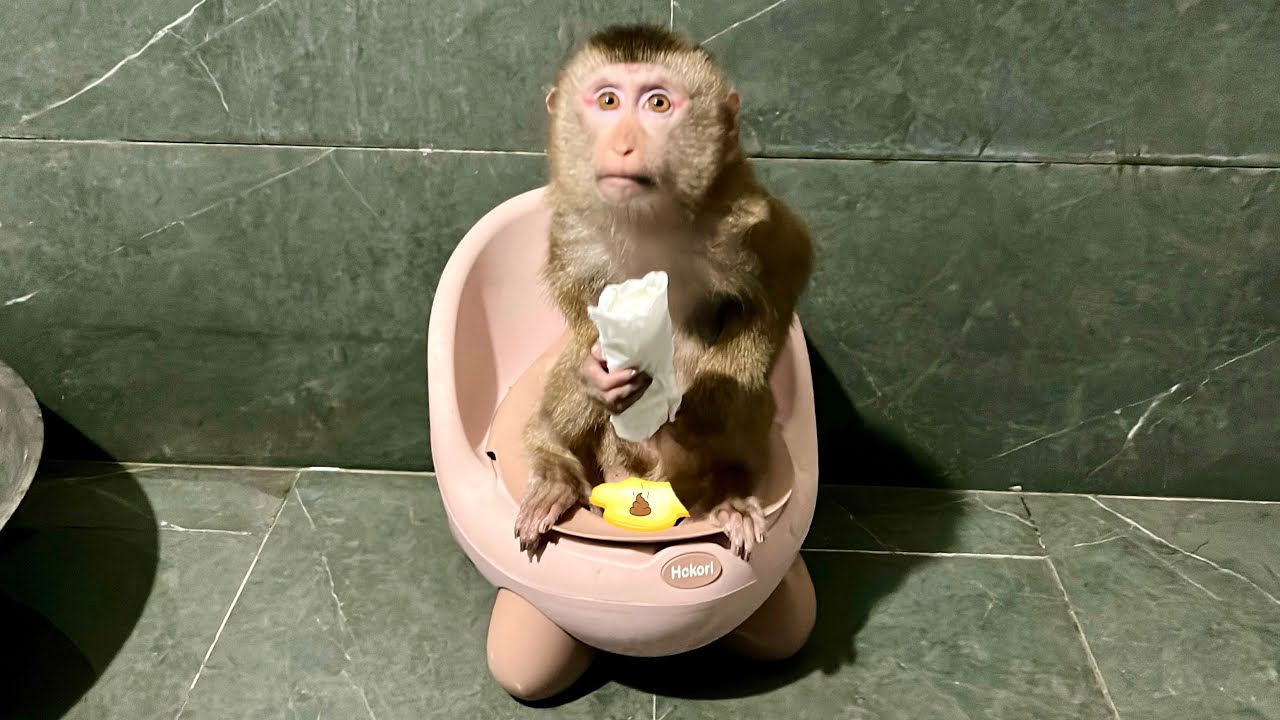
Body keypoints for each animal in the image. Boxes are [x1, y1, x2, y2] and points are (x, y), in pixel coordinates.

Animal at [514, 24, 813, 561]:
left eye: (657, 103)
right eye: (608, 101)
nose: (624, 146)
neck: (650, 224)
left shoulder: (744, 207)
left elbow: (786, 270)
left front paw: (710, 402)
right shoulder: (572, 226)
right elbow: (579, 312)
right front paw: (599, 375)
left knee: (743, 398)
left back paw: (730, 487)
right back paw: (554, 465)